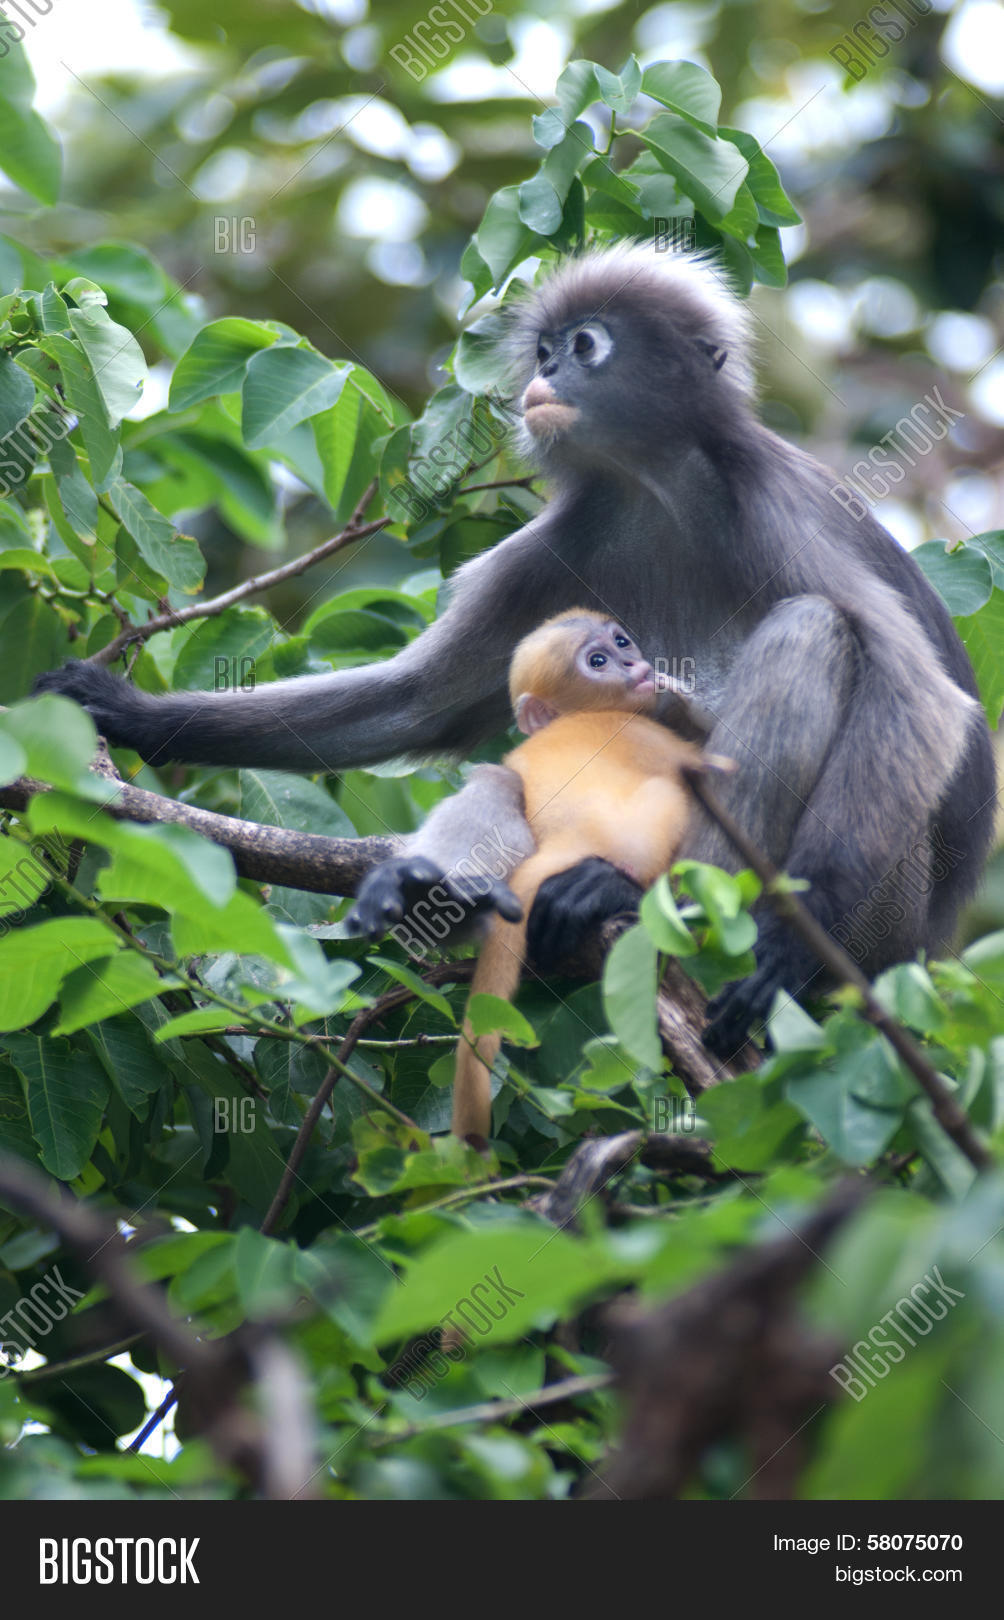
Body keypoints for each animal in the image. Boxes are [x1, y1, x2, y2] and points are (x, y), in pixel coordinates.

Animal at [36, 245, 997, 1054]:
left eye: (585, 345)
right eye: (542, 350)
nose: (545, 374)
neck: (658, 487)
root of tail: (924, 948)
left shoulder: (777, 508)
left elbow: (921, 697)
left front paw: (786, 951)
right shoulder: (567, 536)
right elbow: (414, 703)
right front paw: (125, 711)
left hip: (885, 909)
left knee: (815, 631)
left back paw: (649, 899)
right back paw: (439, 893)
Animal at [347, 609, 702, 1140]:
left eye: (621, 642)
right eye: (598, 661)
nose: (632, 663)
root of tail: (568, 839)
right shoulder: (654, 733)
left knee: (497, 782)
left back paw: (424, 893)